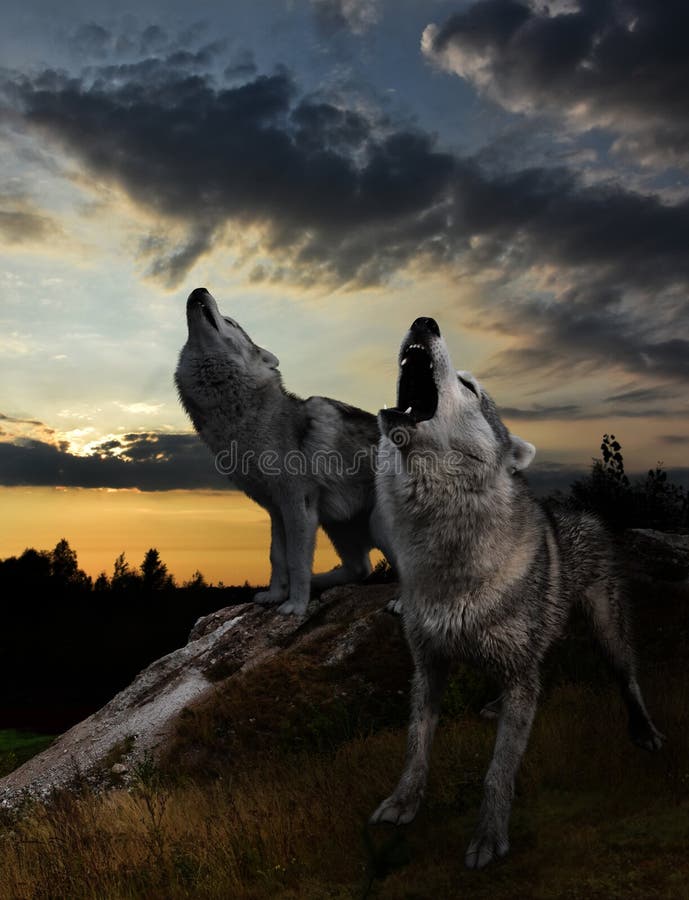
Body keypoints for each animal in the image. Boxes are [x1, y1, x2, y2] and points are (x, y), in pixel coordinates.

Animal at [175, 287, 391, 615]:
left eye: (230, 322)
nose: (200, 290)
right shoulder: (275, 509)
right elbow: (277, 557)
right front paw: (276, 594)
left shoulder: (296, 504)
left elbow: (297, 561)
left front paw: (296, 605)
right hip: (338, 526)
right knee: (360, 569)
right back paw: (320, 581)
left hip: (377, 523)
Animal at [370, 316, 664, 868]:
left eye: (470, 387)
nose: (424, 321)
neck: (447, 557)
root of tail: (585, 514)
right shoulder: (429, 664)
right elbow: (416, 744)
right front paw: (403, 803)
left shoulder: (517, 673)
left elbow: (499, 770)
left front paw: (489, 837)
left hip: (608, 631)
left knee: (628, 677)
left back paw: (644, 731)